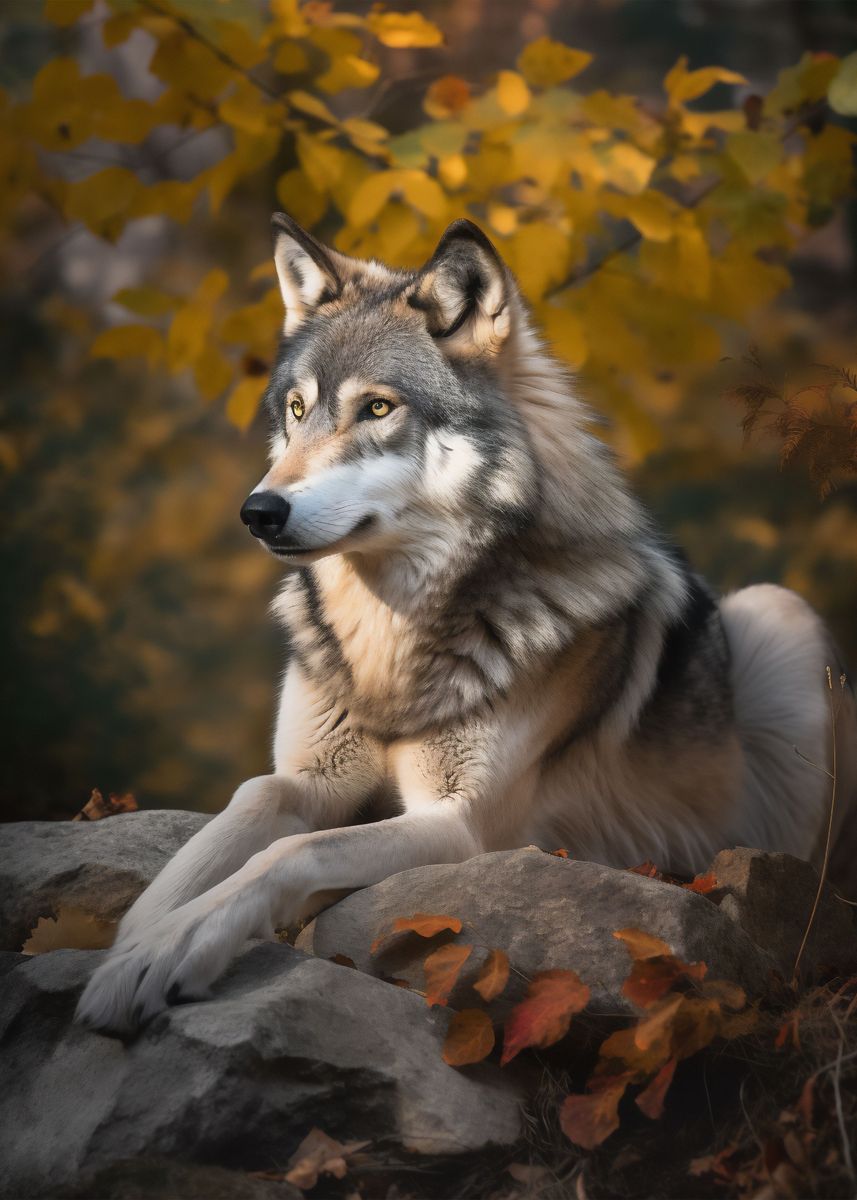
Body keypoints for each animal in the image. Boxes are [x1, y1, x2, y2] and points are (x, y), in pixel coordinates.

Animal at [77, 214, 856, 1034]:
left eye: (377, 408)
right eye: (295, 410)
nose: (258, 512)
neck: (389, 647)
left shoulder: (465, 826)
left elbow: (292, 854)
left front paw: (163, 953)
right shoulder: (308, 778)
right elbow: (248, 802)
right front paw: (133, 941)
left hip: (779, 611)